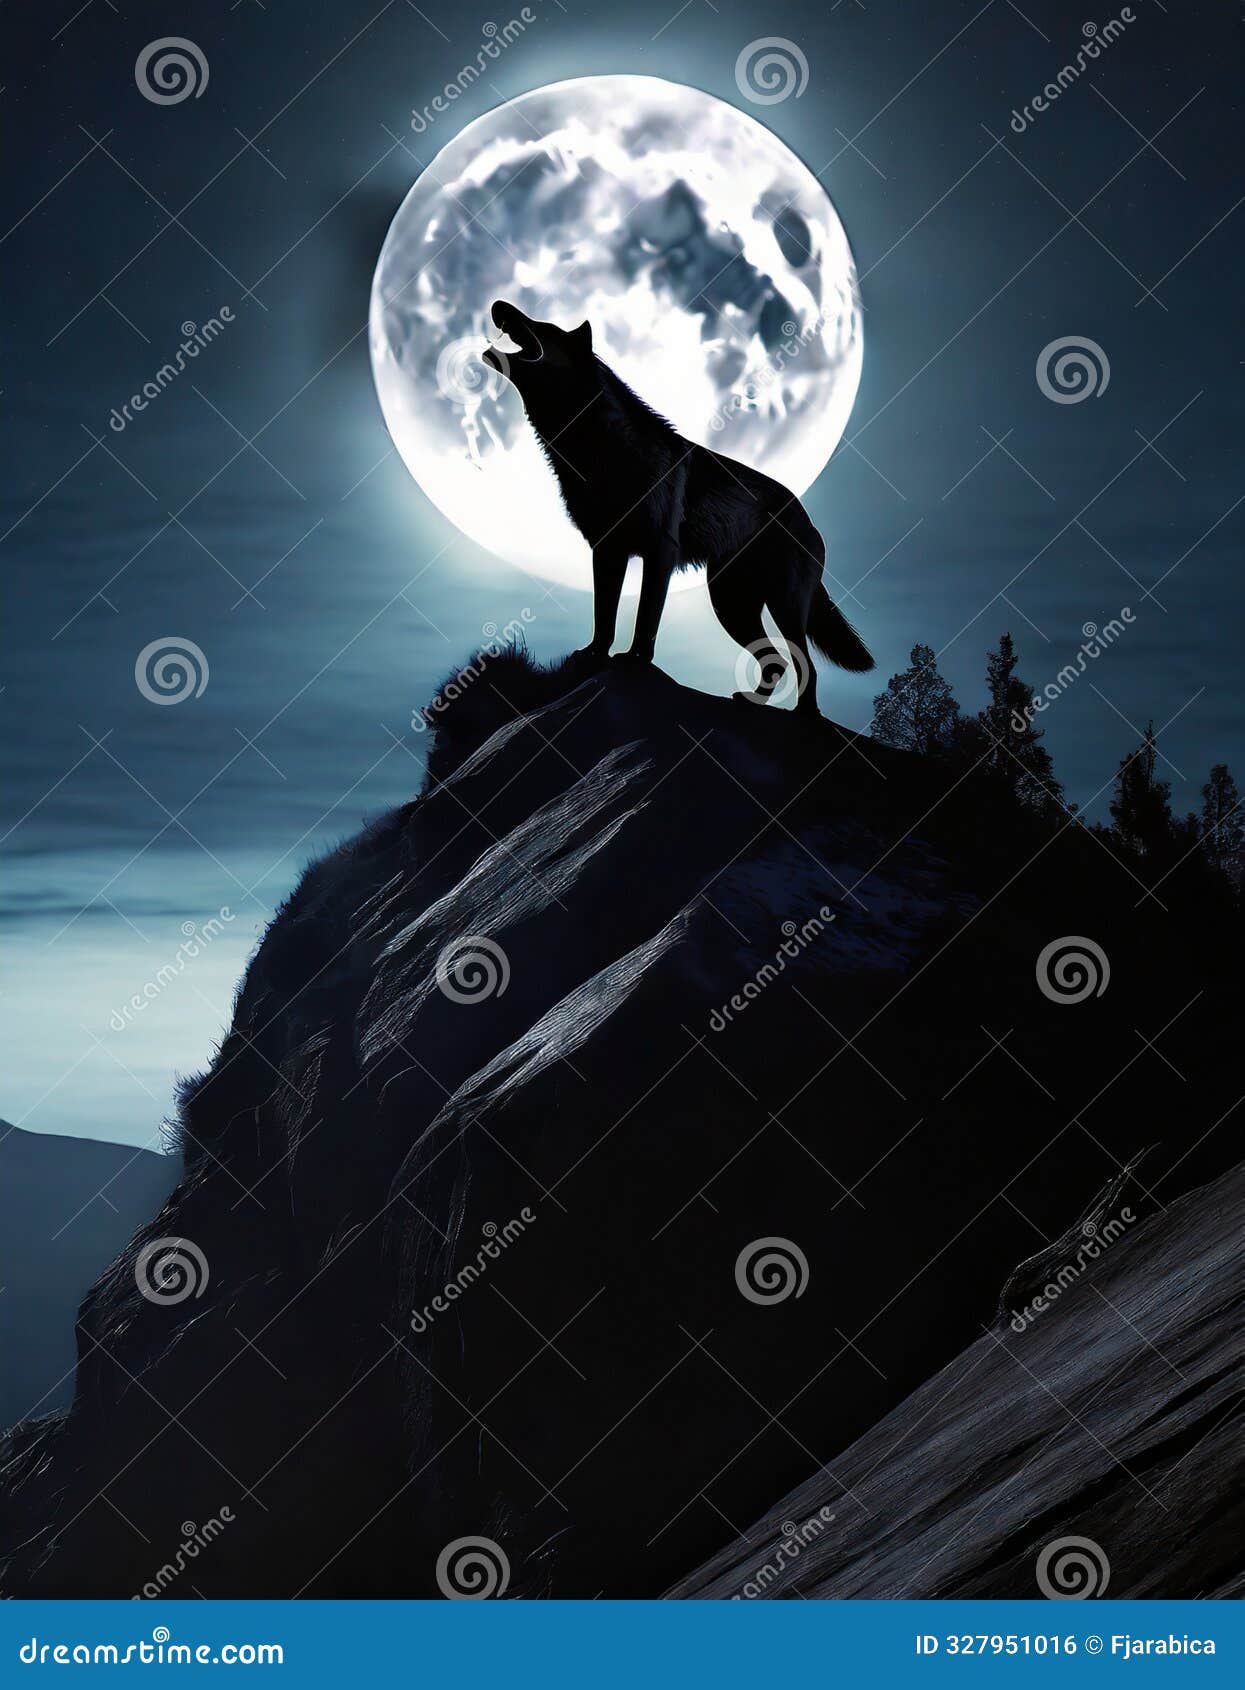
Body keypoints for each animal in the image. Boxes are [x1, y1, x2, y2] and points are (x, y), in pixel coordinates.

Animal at [483, 300, 873, 715]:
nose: (498, 305)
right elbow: (604, 616)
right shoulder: (606, 551)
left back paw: (805, 716)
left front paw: (635, 660)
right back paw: (750, 701)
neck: (598, 449)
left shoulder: (659, 553)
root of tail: (806, 518)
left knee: (803, 664)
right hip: (731, 605)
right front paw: (595, 655)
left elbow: (645, 619)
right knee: (776, 661)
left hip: (779, 605)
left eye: (543, 327)